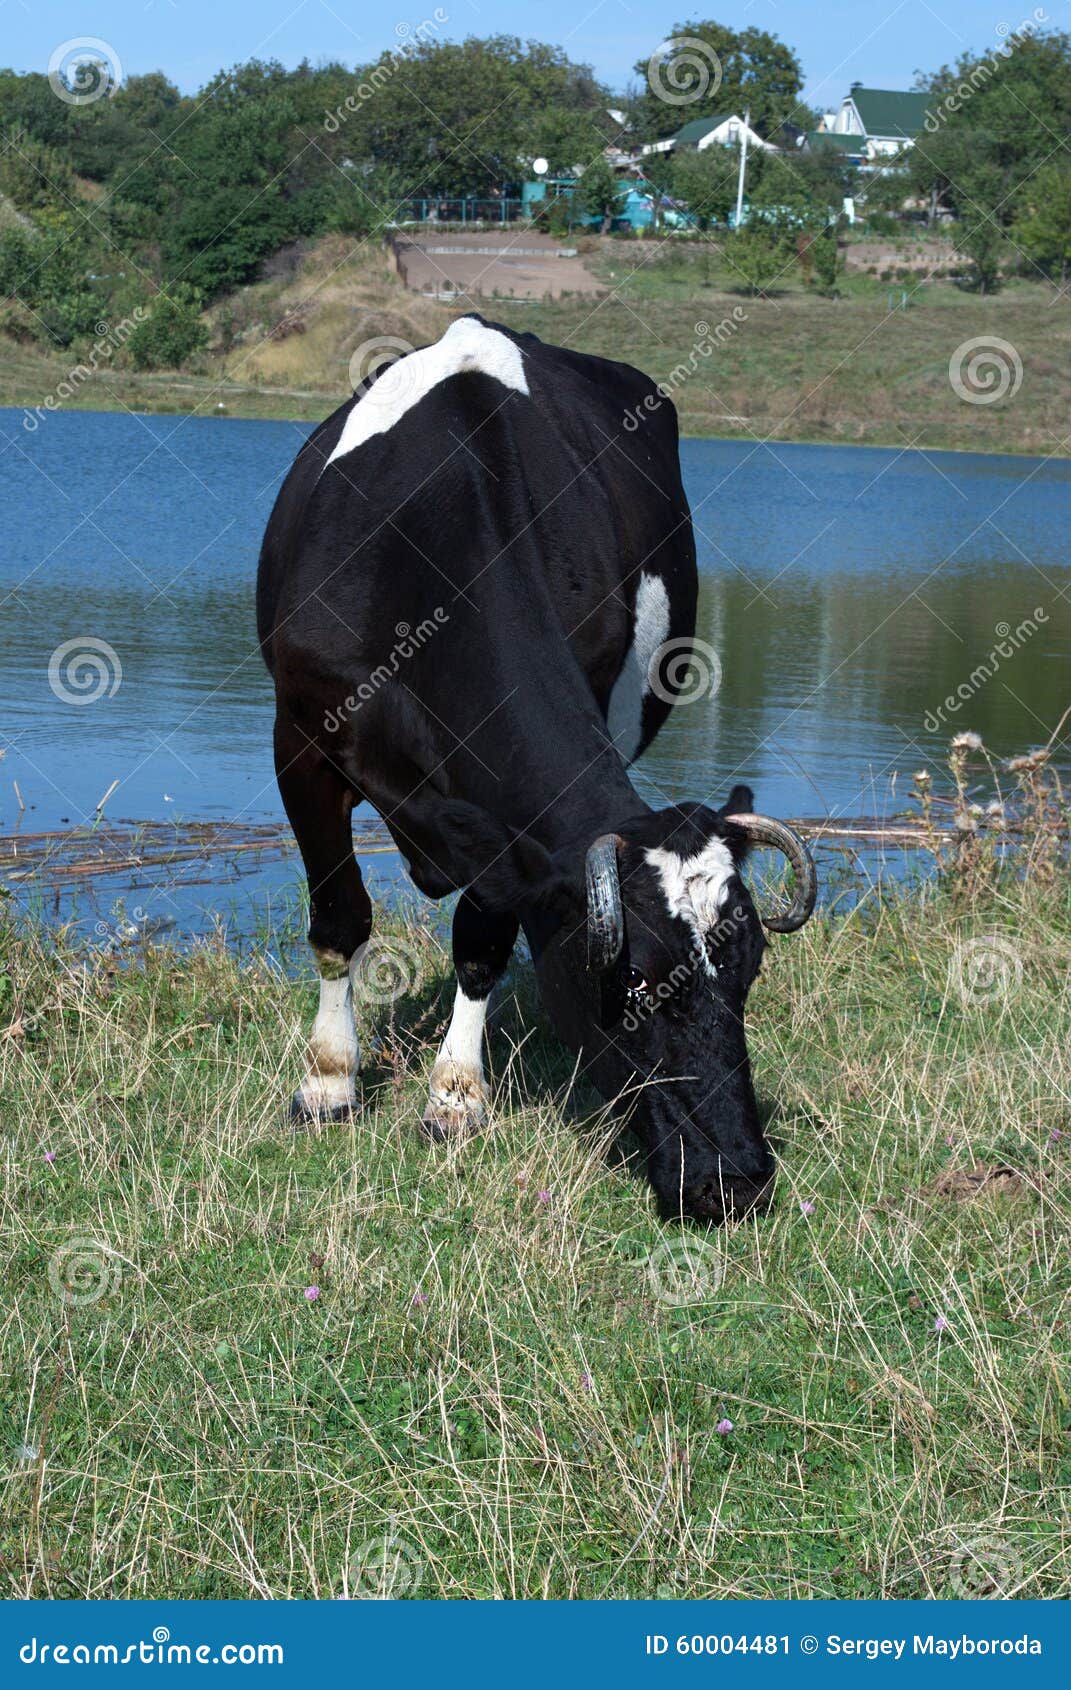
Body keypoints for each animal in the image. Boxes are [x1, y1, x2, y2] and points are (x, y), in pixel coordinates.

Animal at [257, 314, 816, 1223]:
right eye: (632, 984)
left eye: (748, 971)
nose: (735, 1180)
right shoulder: (299, 739)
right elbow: (339, 918)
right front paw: (328, 1084)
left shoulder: (502, 824)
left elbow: (482, 942)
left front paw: (454, 1097)